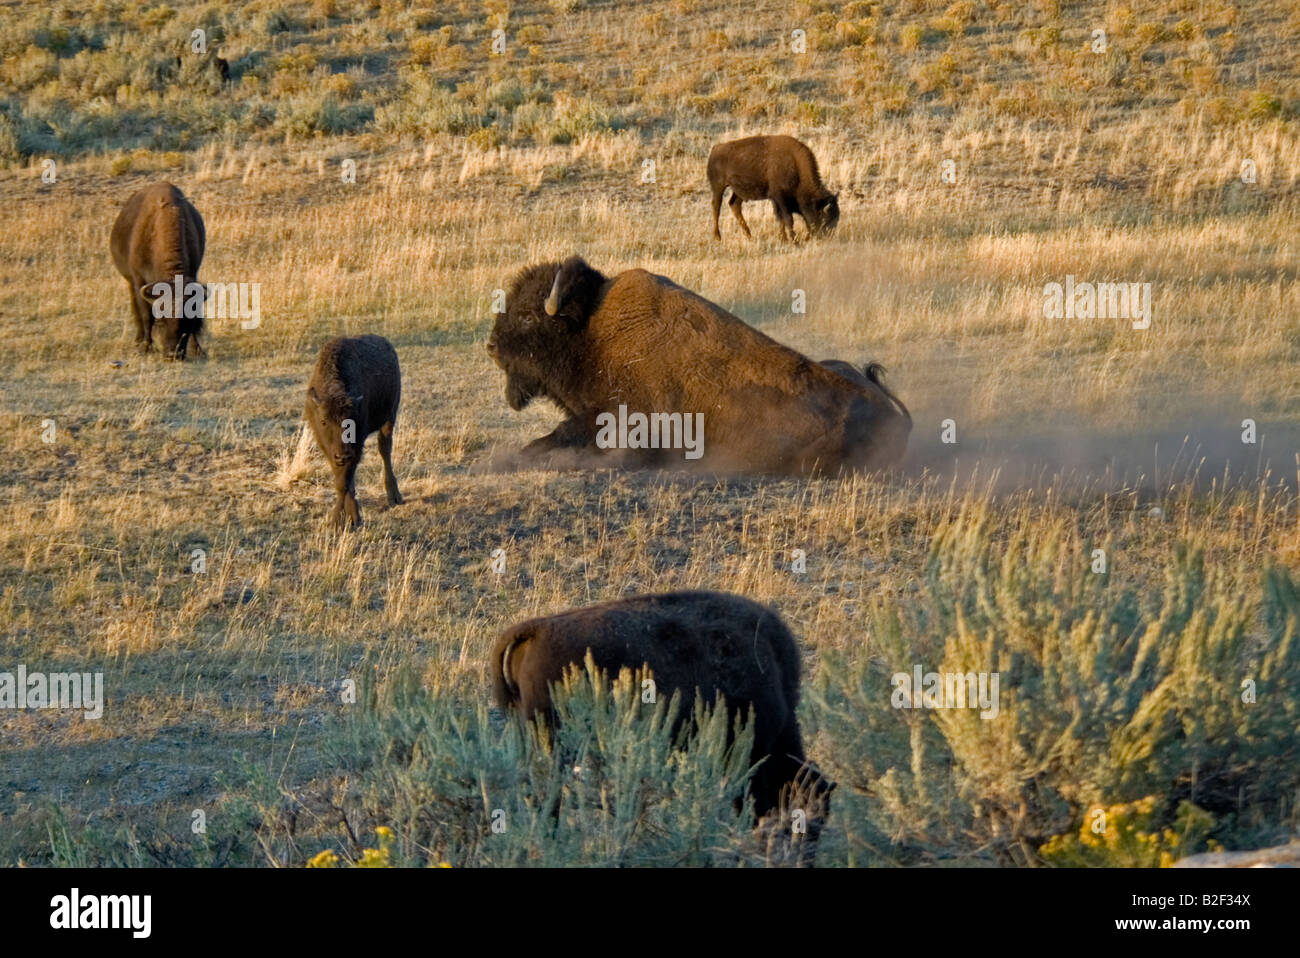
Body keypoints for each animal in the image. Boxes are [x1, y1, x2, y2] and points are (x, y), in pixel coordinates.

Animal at [110, 182, 206, 360]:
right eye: (162, 320)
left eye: (187, 321)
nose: (173, 354)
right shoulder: (139, 280)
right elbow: (147, 316)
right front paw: (146, 348)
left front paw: (197, 349)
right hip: (130, 282)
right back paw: (138, 340)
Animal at [304, 334, 403, 529]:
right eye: (323, 421)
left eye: (352, 420)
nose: (343, 455)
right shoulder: (328, 447)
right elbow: (341, 479)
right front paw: (348, 516)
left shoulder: (356, 446)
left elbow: (343, 481)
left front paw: (342, 519)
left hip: (389, 417)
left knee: (385, 451)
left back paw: (394, 495)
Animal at [708, 135, 839, 241]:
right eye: (824, 218)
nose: (826, 237)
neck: (795, 165)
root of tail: (715, 148)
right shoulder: (780, 197)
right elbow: (788, 219)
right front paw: (794, 241)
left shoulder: (775, 199)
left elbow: (780, 219)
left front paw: (784, 239)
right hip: (718, 187)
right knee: (716, 207)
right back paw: (717, 237)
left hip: (739, 192)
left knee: (734, 205)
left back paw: (749, 236)